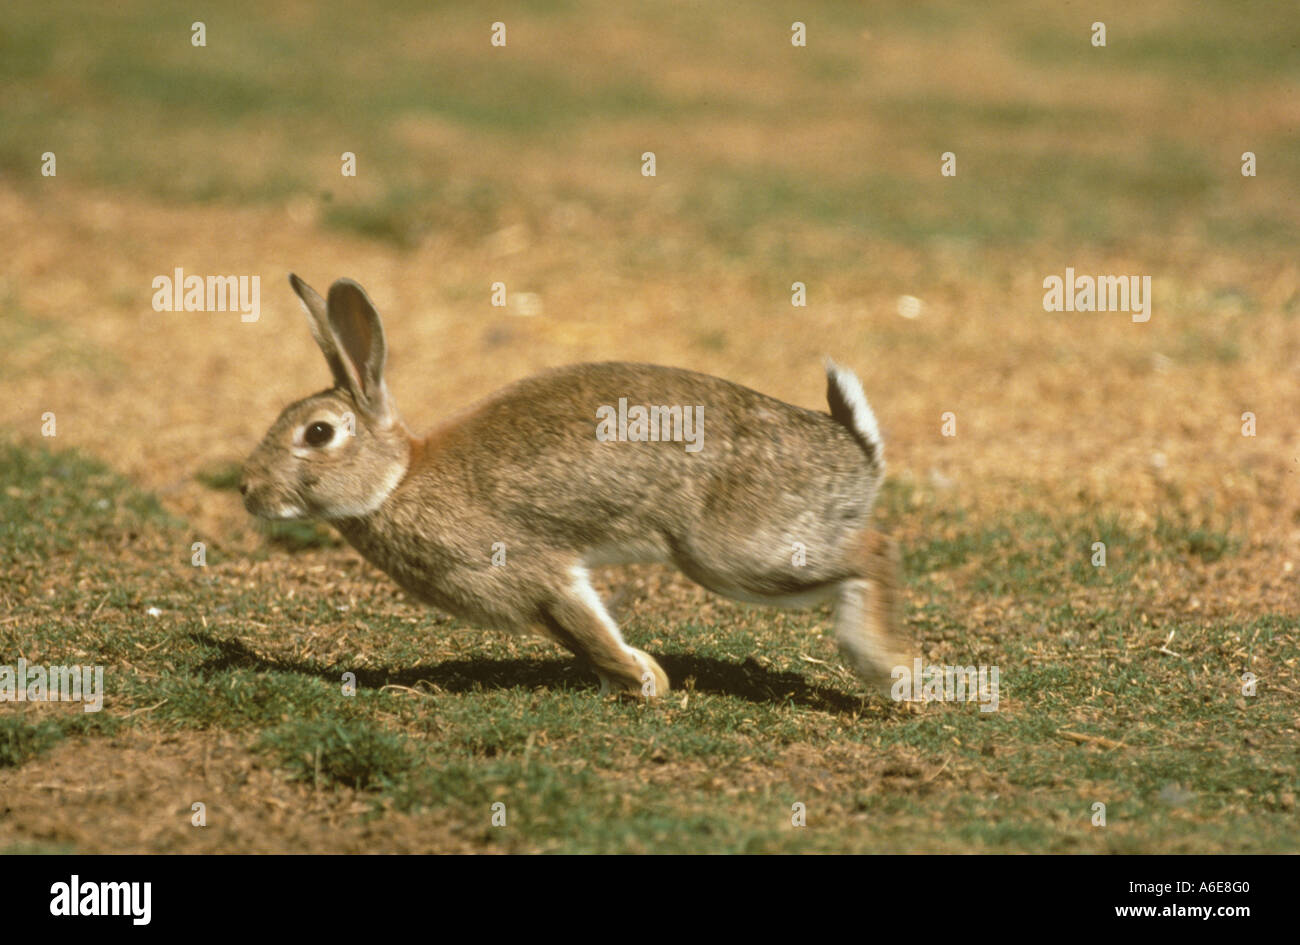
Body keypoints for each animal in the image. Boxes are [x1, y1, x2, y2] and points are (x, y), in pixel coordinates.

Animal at [239, 274, 910, 698]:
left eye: (319, 433)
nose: (248, 489)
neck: (397, 478)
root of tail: (856, 450)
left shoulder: (532, 572)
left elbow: (584, 627)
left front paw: (646, 686)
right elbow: (584, 640)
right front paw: (642, 677)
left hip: (737, 553)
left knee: (874, 550)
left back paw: (890, 669)